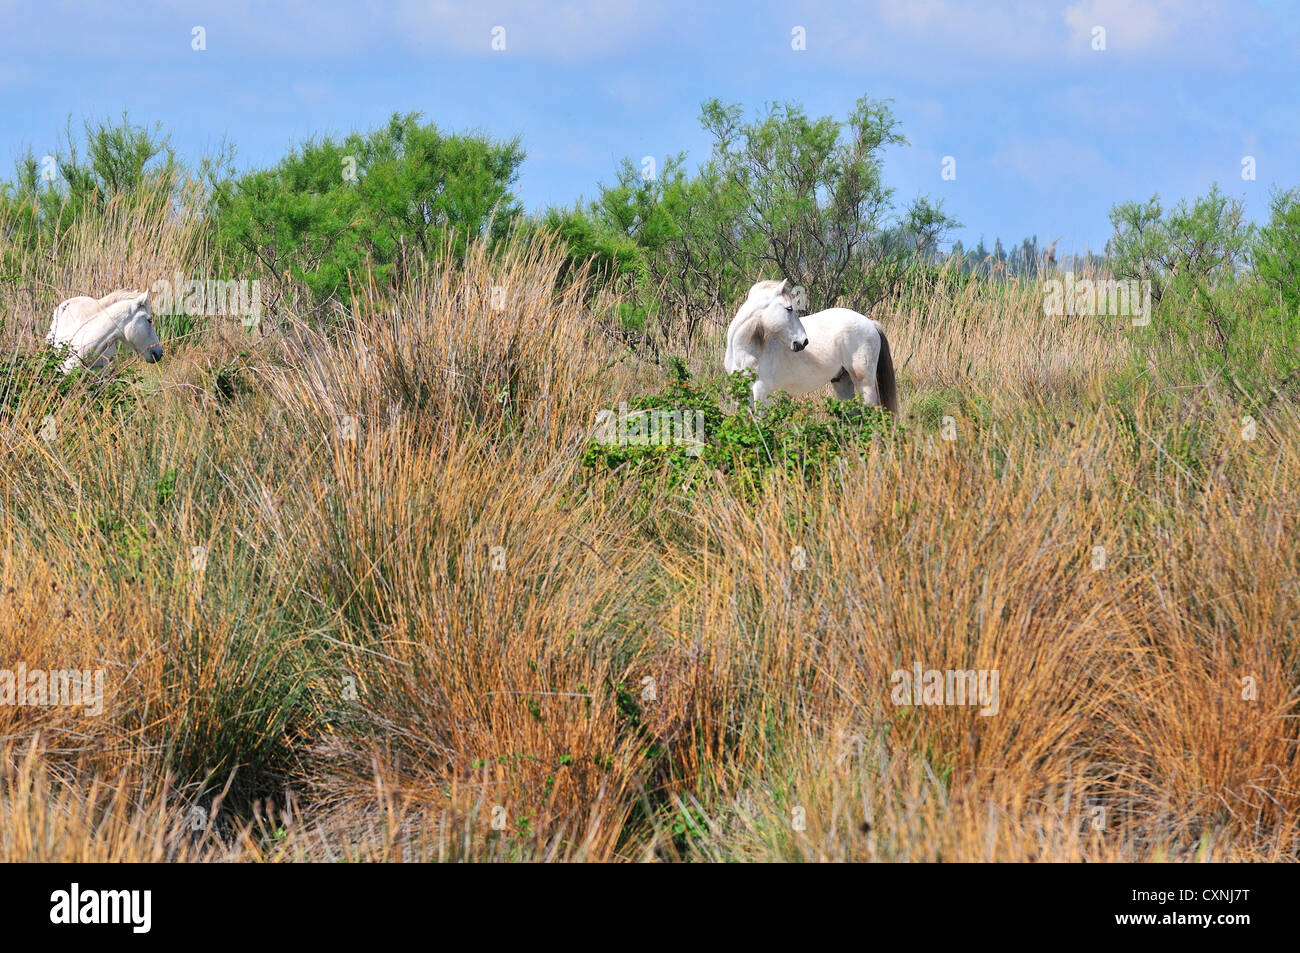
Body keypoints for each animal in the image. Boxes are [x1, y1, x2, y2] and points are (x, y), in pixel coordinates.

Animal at [724, 279, 898, 413]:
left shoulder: (761, 390)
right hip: (842, 382)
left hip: (865, 384)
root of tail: (871, 323)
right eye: (789, 308)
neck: (747, 351)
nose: (803, 342)